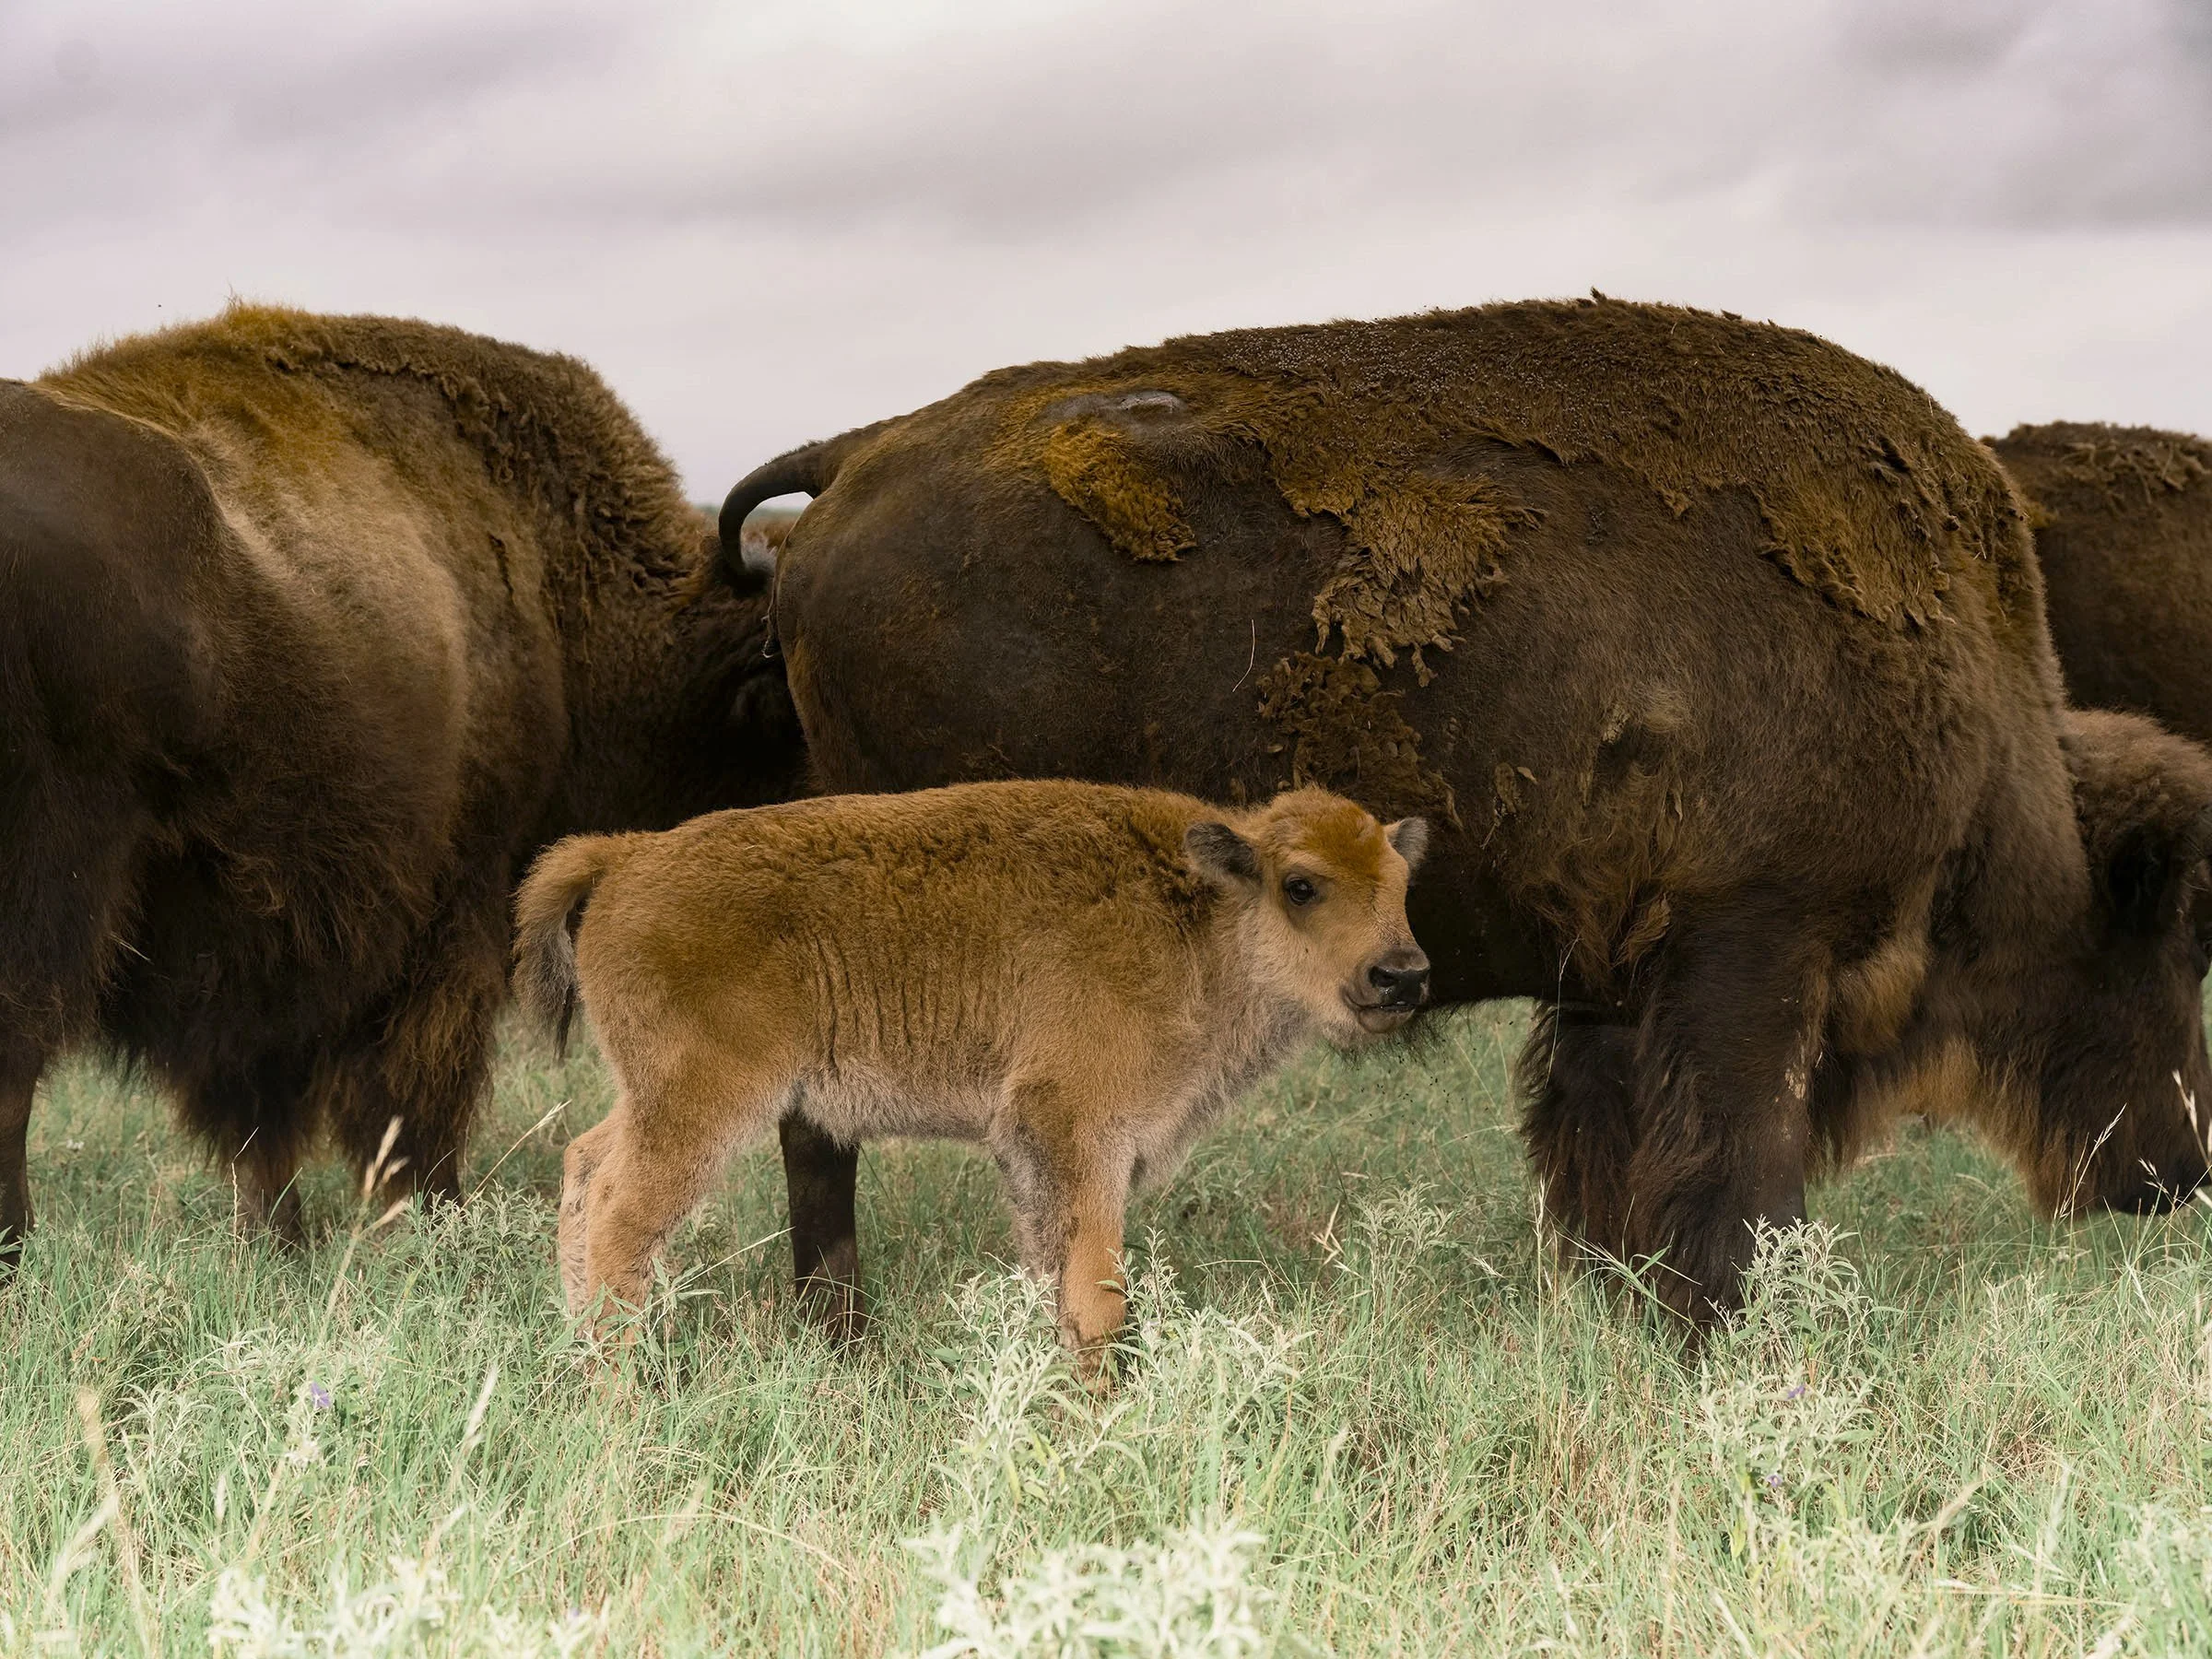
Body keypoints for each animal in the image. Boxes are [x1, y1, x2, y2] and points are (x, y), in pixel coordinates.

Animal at [0, 304, 800, 1244]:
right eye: (790, 714)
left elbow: (254, 1109)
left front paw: (280, 1239)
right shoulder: (455, 909)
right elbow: (417, 1082)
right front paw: (425, 1210)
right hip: (57, 884)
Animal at [724, 297, 2212, 1326]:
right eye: (2159, 944)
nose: (2177, 1181)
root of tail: (852, 462)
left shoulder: (1616, 984)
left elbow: (1607, 1155)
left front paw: (1616, 1301)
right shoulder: (1756, 946)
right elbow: (1741, 1164)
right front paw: (1722, 1323)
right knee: (819, 1122)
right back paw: (847, 1330)